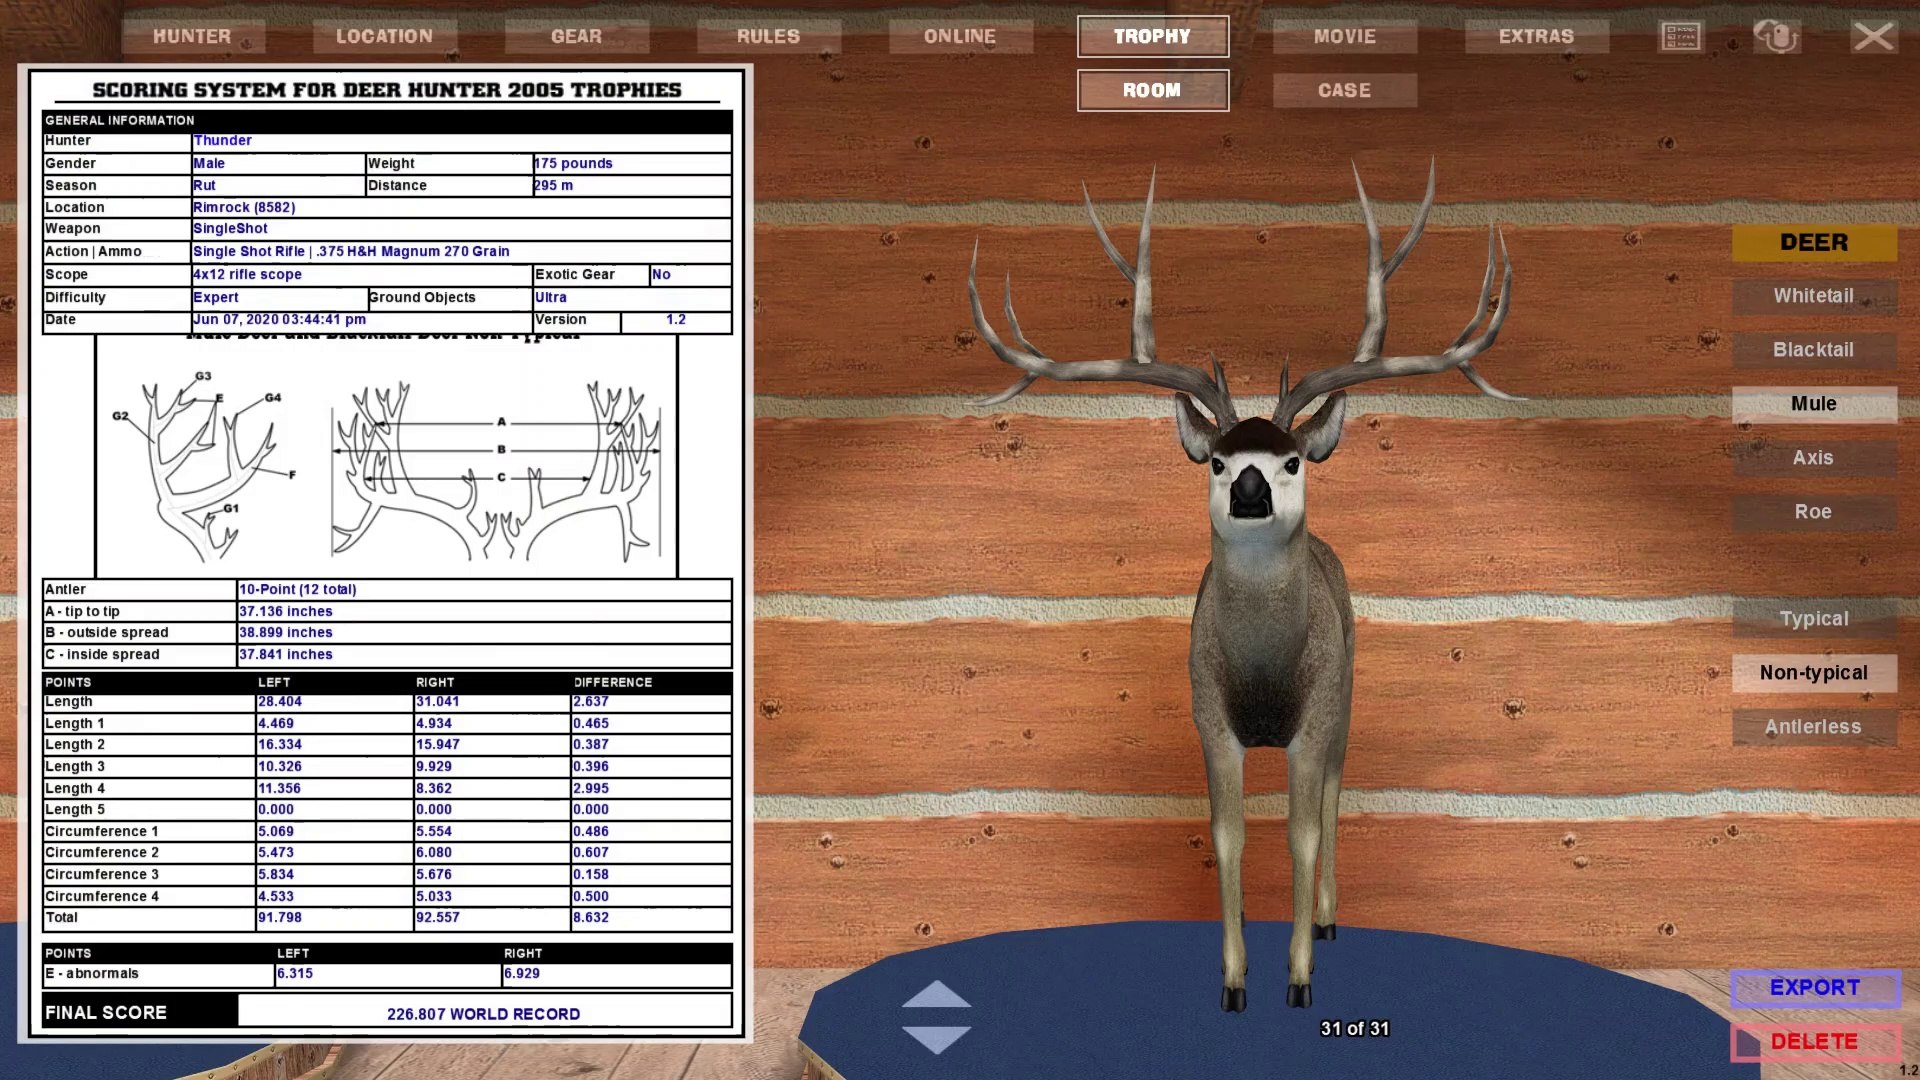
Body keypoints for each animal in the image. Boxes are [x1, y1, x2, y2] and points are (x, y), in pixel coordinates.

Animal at [965, 161, 1517, 1012]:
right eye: (1219, 459)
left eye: (1290, 459)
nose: (1250, 491)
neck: (1261, 671)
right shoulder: (1207, 714)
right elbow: (1227, 836)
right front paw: (1232, 978)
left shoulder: (1316, 711)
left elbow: (1301, 829)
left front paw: (1299, 975)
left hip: (1350, 689)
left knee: (1335, 790)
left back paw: (1327, 918)